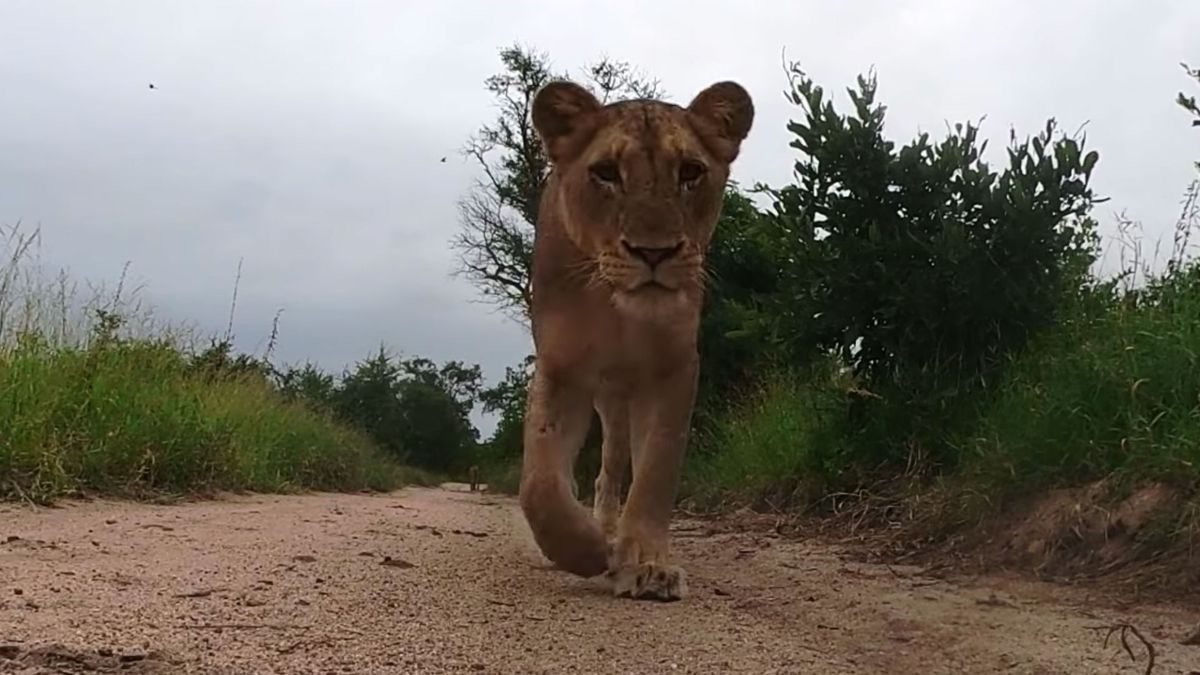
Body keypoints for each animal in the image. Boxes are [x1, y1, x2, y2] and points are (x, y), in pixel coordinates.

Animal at [518, 78, 754, 601]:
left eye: (690, 172)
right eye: (606, 173)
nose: (654, 252)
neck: (616, 310)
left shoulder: (674, 368)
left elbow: (655, 473)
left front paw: (646, 566)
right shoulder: (559, 369)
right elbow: (539, 483)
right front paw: (584, 551)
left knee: (615, 467)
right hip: (606, 398)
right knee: (601, 471)